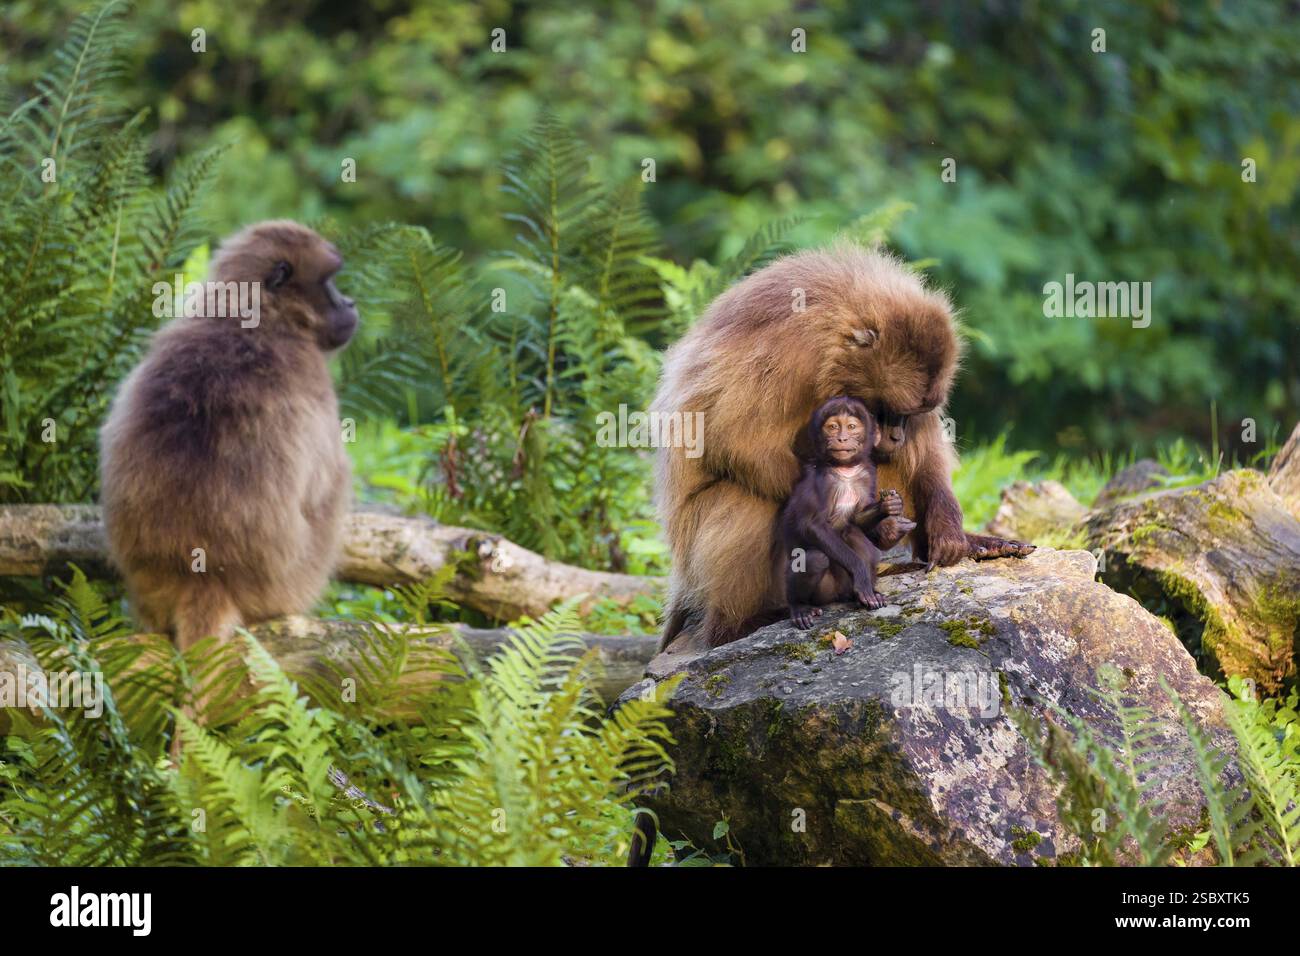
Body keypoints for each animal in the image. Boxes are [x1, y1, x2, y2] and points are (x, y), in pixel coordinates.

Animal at [99, 221, 358, 696]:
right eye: (330, 282)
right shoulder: (310, 371)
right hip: (285, 584)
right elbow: (321, 487)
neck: (258, 312)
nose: (350, 303)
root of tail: (202, 578)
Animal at [779, 396, 915, 628]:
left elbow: (857, 519)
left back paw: (865, 595)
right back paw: (800, 607)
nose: (841, 438)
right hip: (824, 592)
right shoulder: (821, 478)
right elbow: (813, 526)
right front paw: (860, 570)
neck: (845, 470)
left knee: (854, 534)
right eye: (833, 427)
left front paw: (890, 505)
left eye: (851, 427)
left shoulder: (867, 472)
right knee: (814, 559)